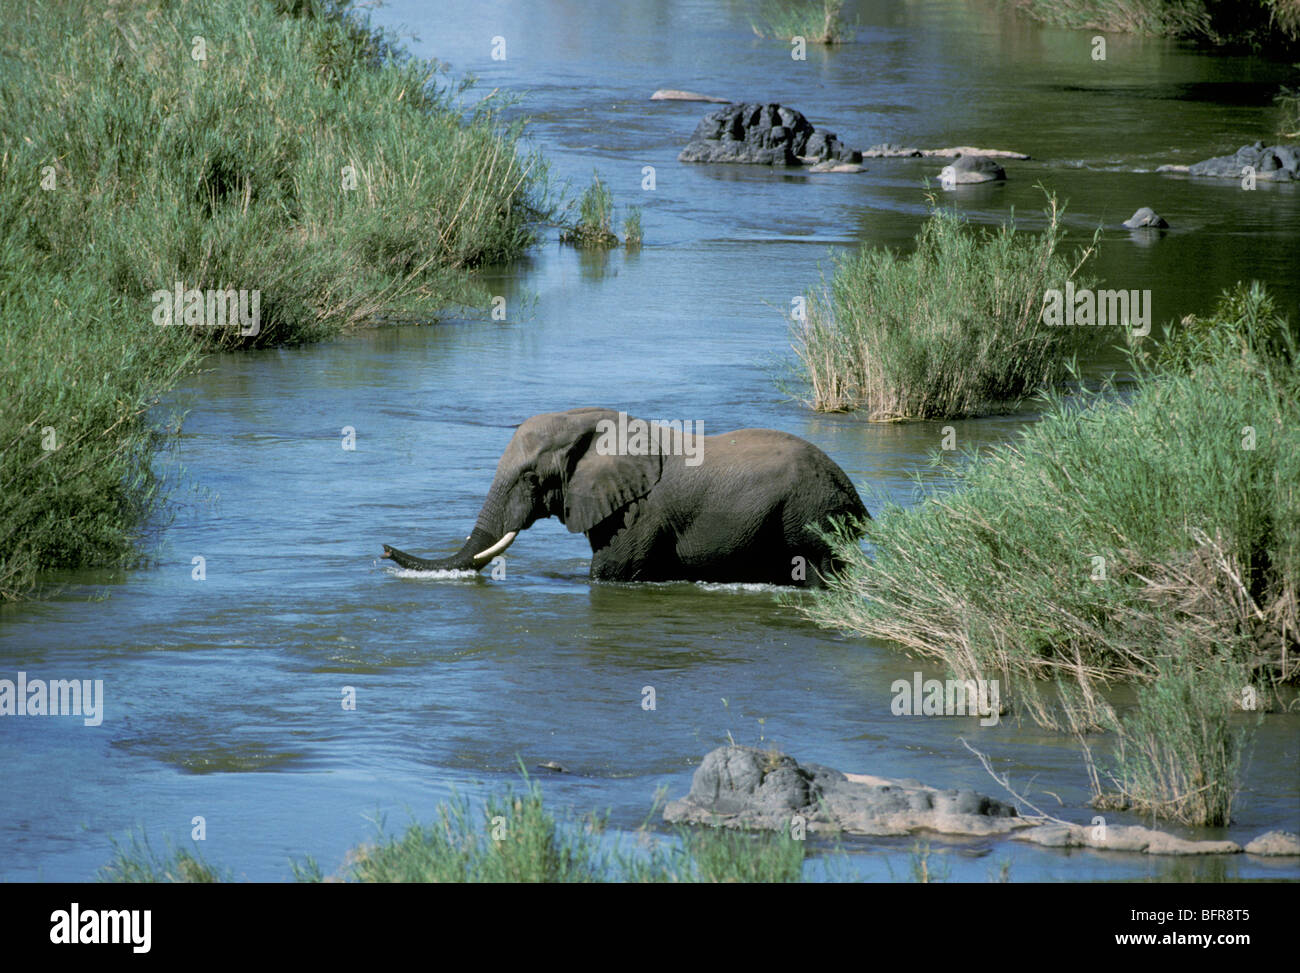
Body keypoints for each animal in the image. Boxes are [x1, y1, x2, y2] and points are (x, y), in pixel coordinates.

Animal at [381, 407, 869, 586]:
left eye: (532, 480)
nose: (383, 549)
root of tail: (852, 489)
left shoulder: (640, 512)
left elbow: (609, 571)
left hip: (811, 513)